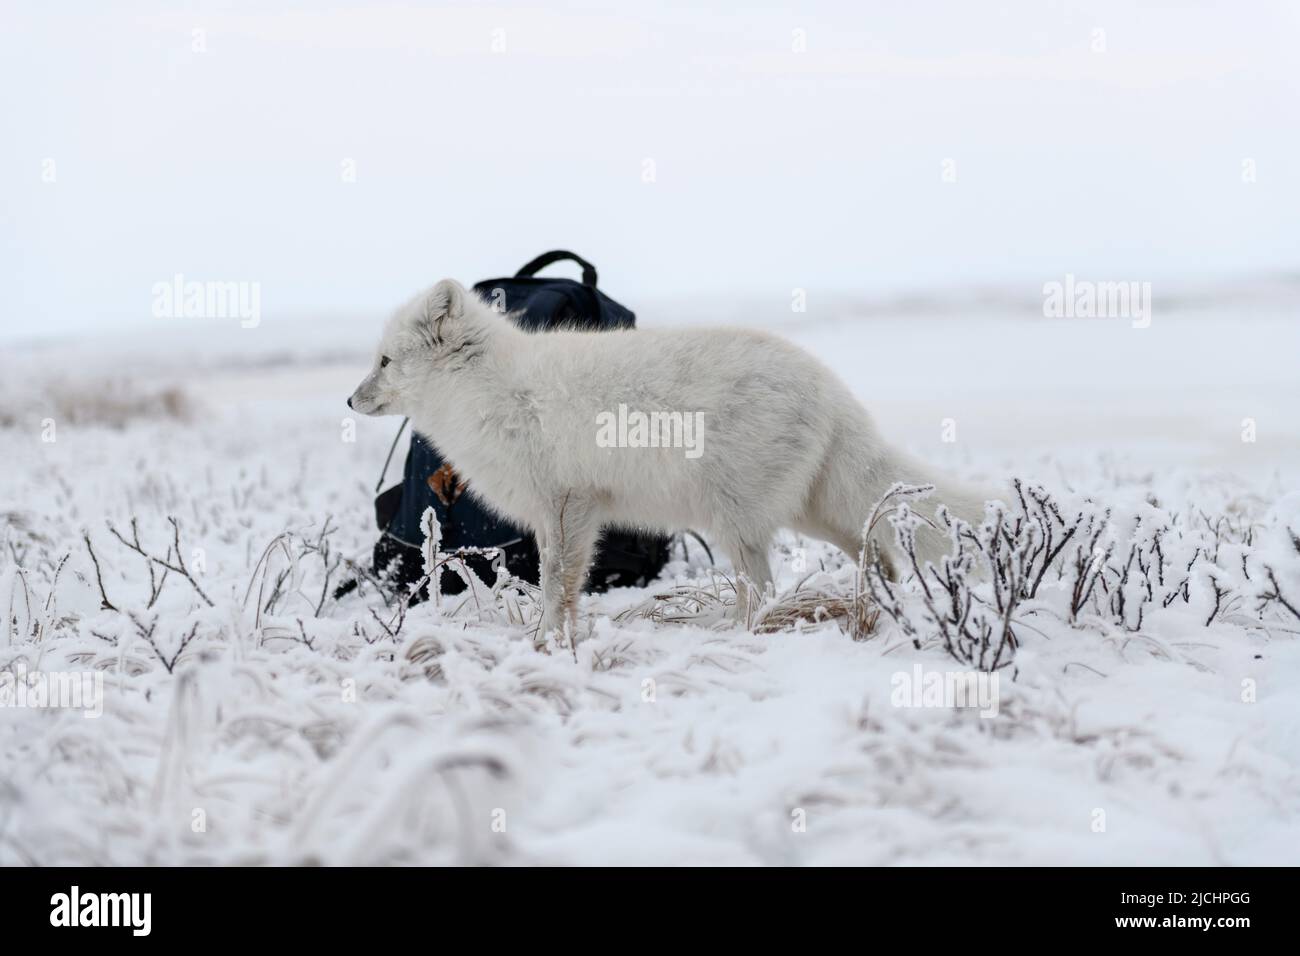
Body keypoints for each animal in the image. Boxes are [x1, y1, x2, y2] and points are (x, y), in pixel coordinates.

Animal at [349, 279, 991, 640]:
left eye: (384, 361)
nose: (350, 400)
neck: (492, 392)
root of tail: (830, 386)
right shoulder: (553, 516)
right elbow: (555, 584)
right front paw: (547, 637)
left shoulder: (570, 505)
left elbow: (558, 585)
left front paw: (548, 643)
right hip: (809, 512)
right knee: (876, 552)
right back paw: (869, 606)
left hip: (737, 521)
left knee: (762, 589)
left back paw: (736, 633)